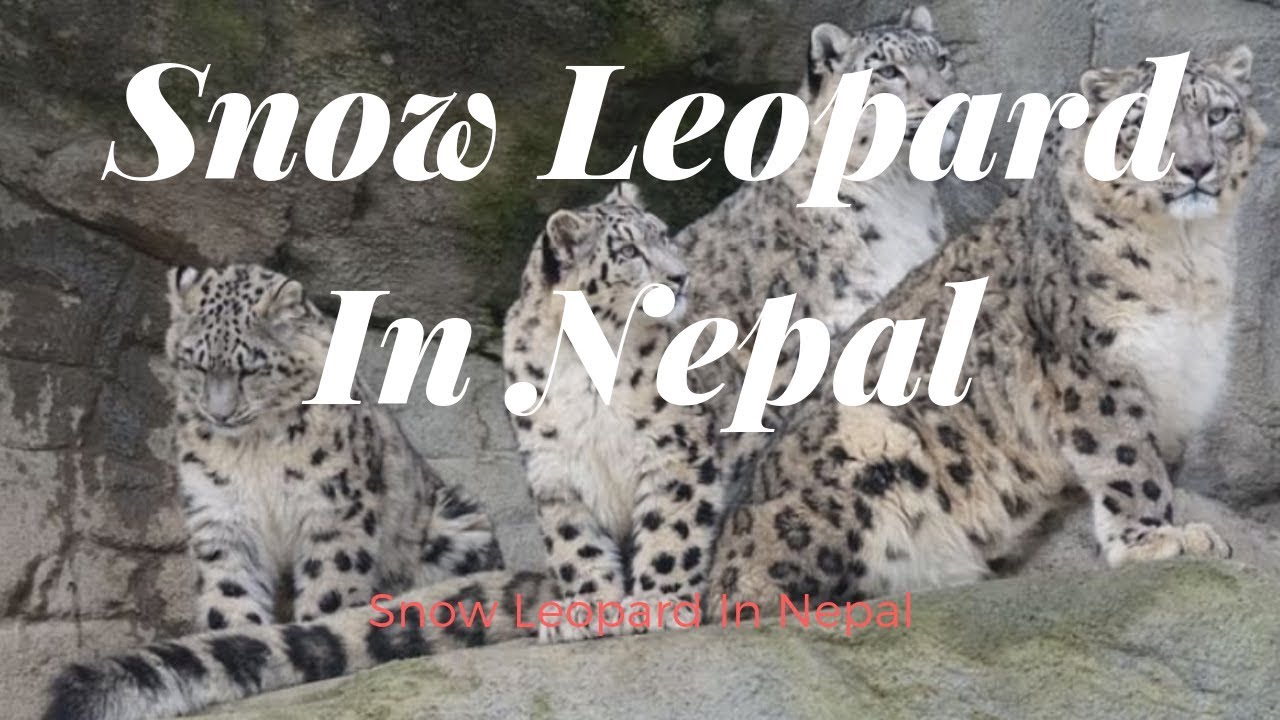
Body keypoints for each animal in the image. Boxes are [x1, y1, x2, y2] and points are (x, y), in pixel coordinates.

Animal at [43, 46, 1263, 720]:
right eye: (1149, 120)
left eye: (1218, 111)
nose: (1196, 165)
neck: (1190, 265)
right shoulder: (1087, 368)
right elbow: (1120, 460)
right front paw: (1162, 539)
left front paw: (1169, 532)